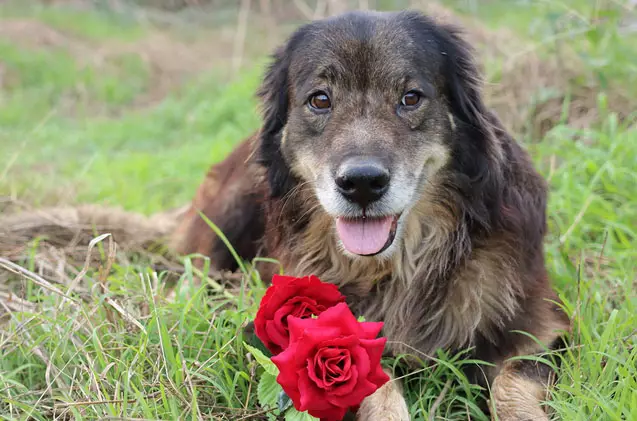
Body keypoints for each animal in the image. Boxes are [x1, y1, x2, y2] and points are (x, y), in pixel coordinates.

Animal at [171, 10, 568, 420]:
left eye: (411, 98)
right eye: (320, 100)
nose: (362, 183)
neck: (396, 267)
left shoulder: (544, 328)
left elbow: (512, 379)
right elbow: (375, 379)